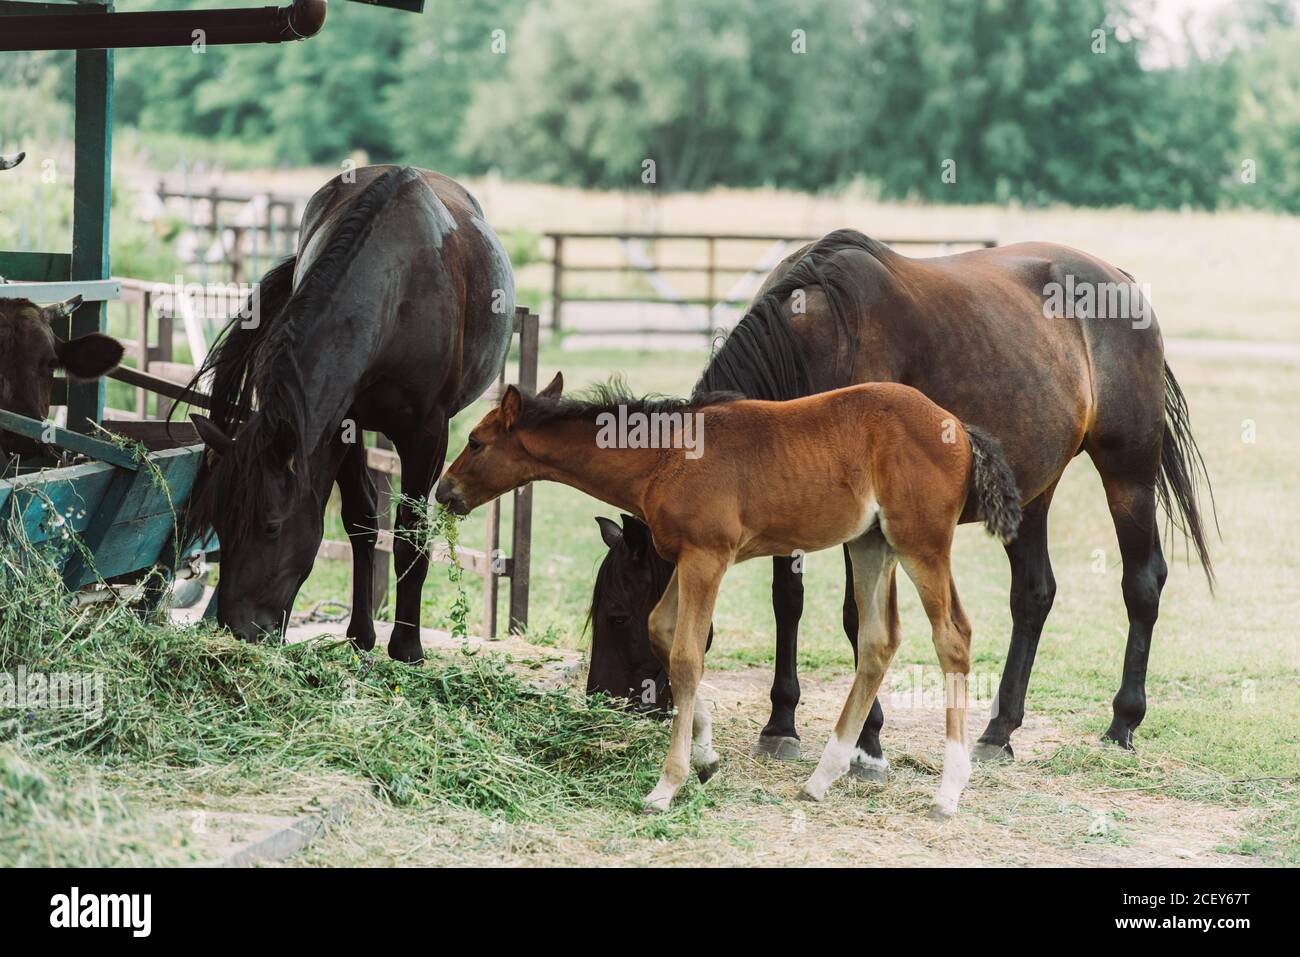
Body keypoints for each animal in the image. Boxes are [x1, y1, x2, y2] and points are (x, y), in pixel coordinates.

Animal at [185, 165, 514, 661]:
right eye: (221, 524)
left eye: (270, 526)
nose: (237, 628)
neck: (398, 288)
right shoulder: (344, 423)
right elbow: (360, 522)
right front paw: (361, 635)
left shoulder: (428, 434)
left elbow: (411, 533)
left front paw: (407, 646)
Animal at [435, 374, 1022, 814]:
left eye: (476, 441)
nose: (444, 492)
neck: (667, 455)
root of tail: (958, 427)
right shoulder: (684, 557)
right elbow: (664, 632)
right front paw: (706, 756)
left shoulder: (707, 556)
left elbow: (686, 656)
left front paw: (667, 784)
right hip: (871, 543)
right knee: (879, 642)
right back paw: (820, 779)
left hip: (921, 542)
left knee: (953, 636)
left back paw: (948, 791)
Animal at [586, 228, 1214, 774]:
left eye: (618, 615)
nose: (600, 700)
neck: (814, 342)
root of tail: (1121, 281)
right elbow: (787, 602)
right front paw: (781, 723)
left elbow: (855, 618)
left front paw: (866, 739)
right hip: (1032, 489)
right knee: (1034, 594)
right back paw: (999, 731)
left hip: (1128, 474)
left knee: (1142, 583)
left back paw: (1122, 722)